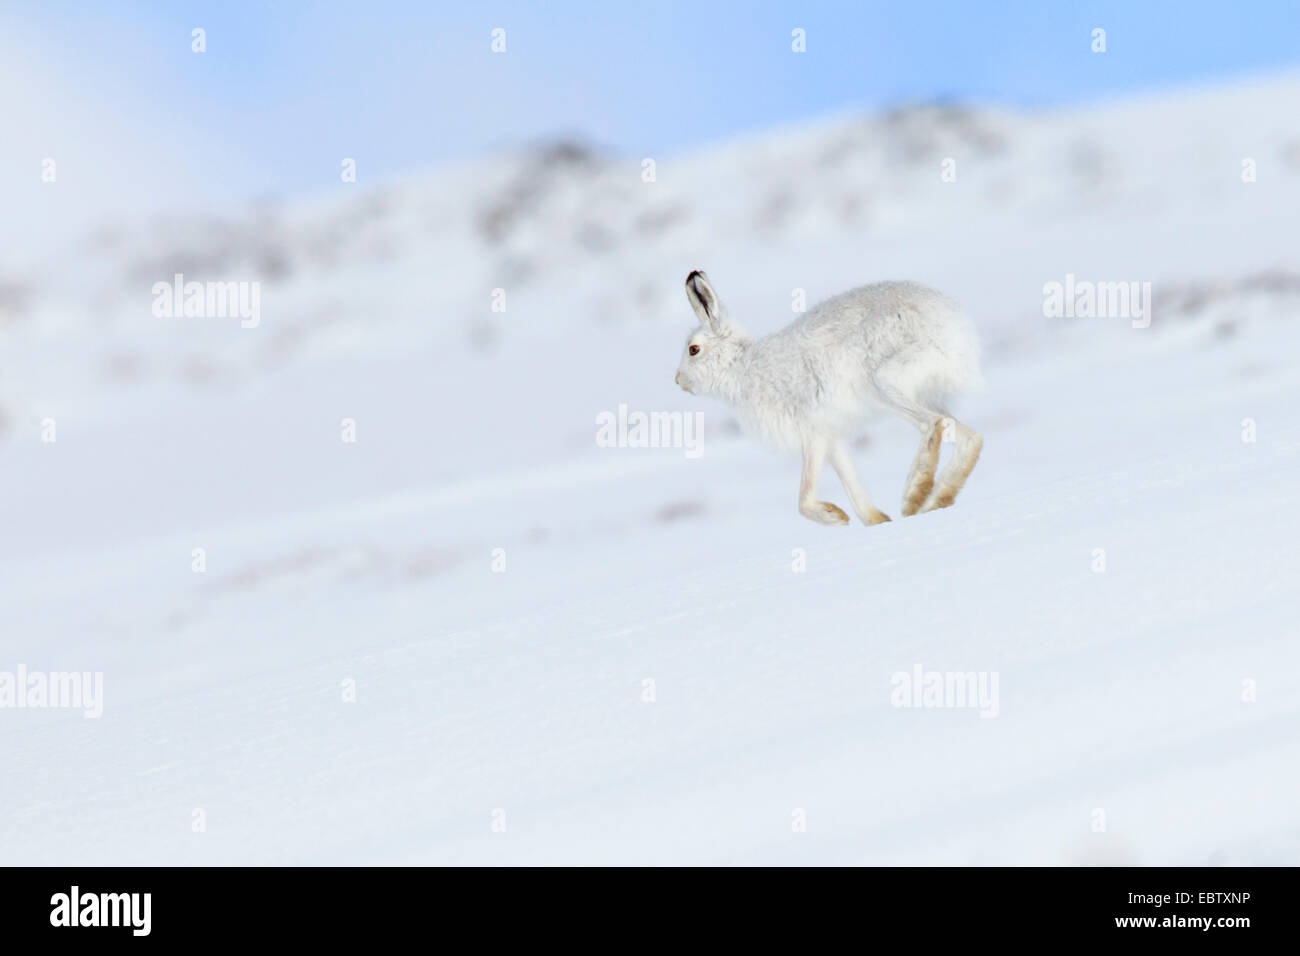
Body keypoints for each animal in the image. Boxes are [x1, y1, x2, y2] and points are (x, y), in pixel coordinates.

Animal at [674, 270, 983, 526]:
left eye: (693, 350)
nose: (678, 381)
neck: (740, 365)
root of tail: (954, 328)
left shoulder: (812, 430)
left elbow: (803, 498)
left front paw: (834, 517)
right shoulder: (830, 436)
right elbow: (853, 489)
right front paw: (877, 521)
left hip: (883, 383)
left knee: (934, 425)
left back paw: (913, 496)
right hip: (922, 392)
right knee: (969, 438)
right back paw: (937, 500)